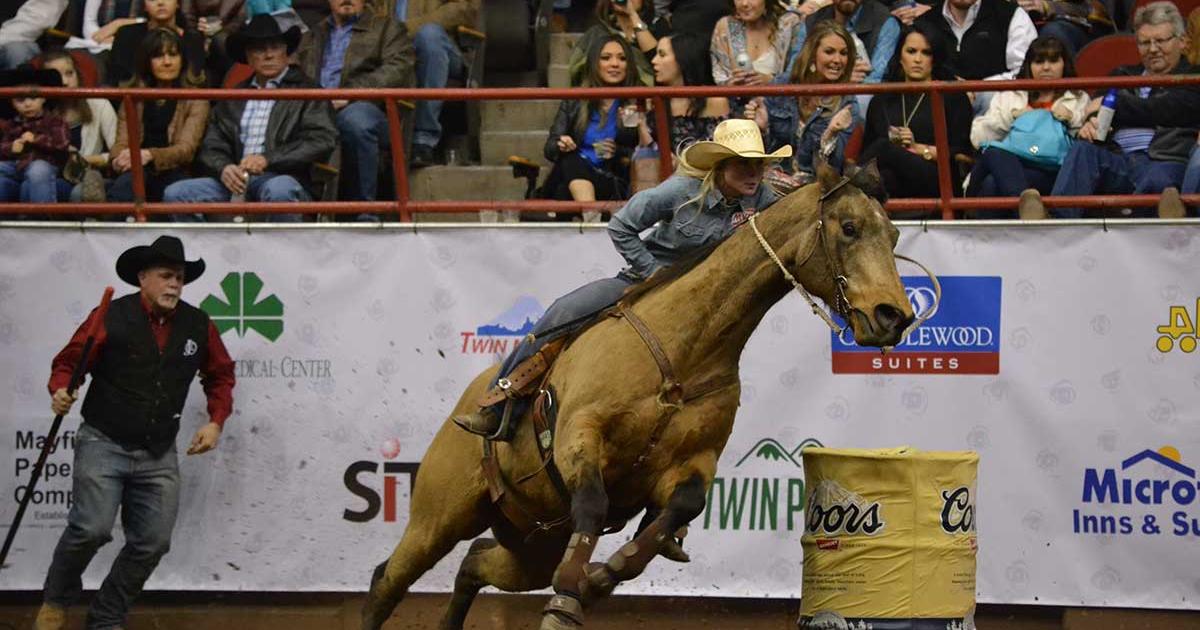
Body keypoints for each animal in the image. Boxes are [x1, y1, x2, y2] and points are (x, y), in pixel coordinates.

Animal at [361, 164, 920, 629]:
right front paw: (566, 601)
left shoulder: (692, 463)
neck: (683, 349)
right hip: (438, 516)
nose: (894, 315)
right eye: (848, 227)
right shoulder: (579, 435)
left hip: (531, 544)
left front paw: (599, 578)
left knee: (474, 563)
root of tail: (466, 402)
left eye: (893, 234)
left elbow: (679, 510)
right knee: (387, 580)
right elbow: (591, 504)